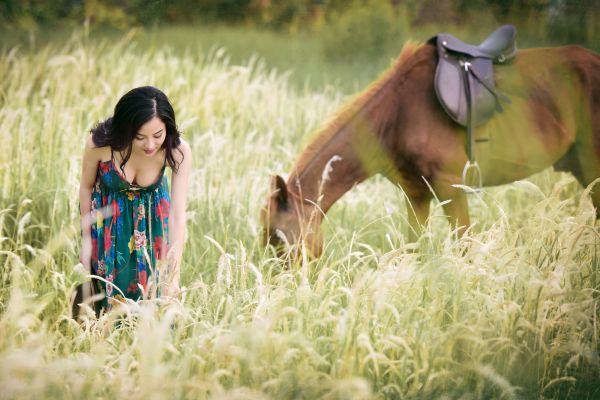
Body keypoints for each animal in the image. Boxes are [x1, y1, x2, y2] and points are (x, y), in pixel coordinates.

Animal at [262, 39, 600, 256]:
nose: (282, 290)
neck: (398, 113)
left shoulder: (452, 189)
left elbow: (465, 248)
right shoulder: (416, 195)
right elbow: (414, 250)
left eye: (279, 238)